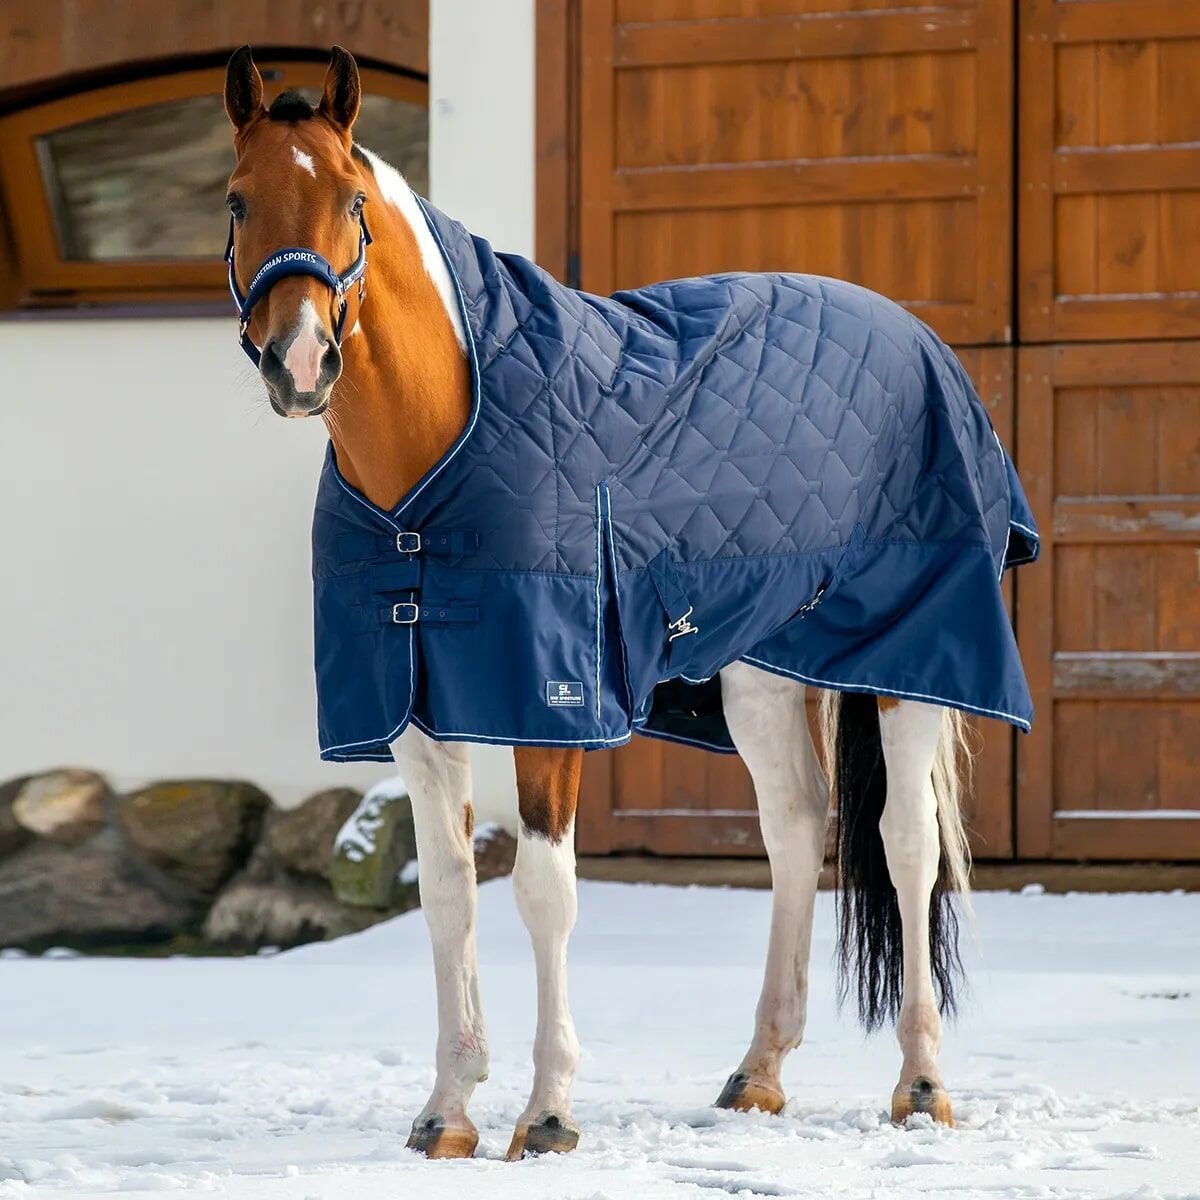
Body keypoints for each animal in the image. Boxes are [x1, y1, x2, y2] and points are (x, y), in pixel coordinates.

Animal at [222, 45, 1037, 1160]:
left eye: (352, 200)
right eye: (237, 198)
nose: (300, 361)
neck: (439, 448)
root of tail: (917, 338)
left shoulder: (553, 702)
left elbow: (543, 892)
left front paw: (548, 1113)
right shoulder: (417, 713)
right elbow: (448, 896)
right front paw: (446, 1112)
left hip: (912, 653)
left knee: (905, 845)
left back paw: (920, 1084)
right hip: (760, 670)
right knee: (796, 824)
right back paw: (758, 1071)